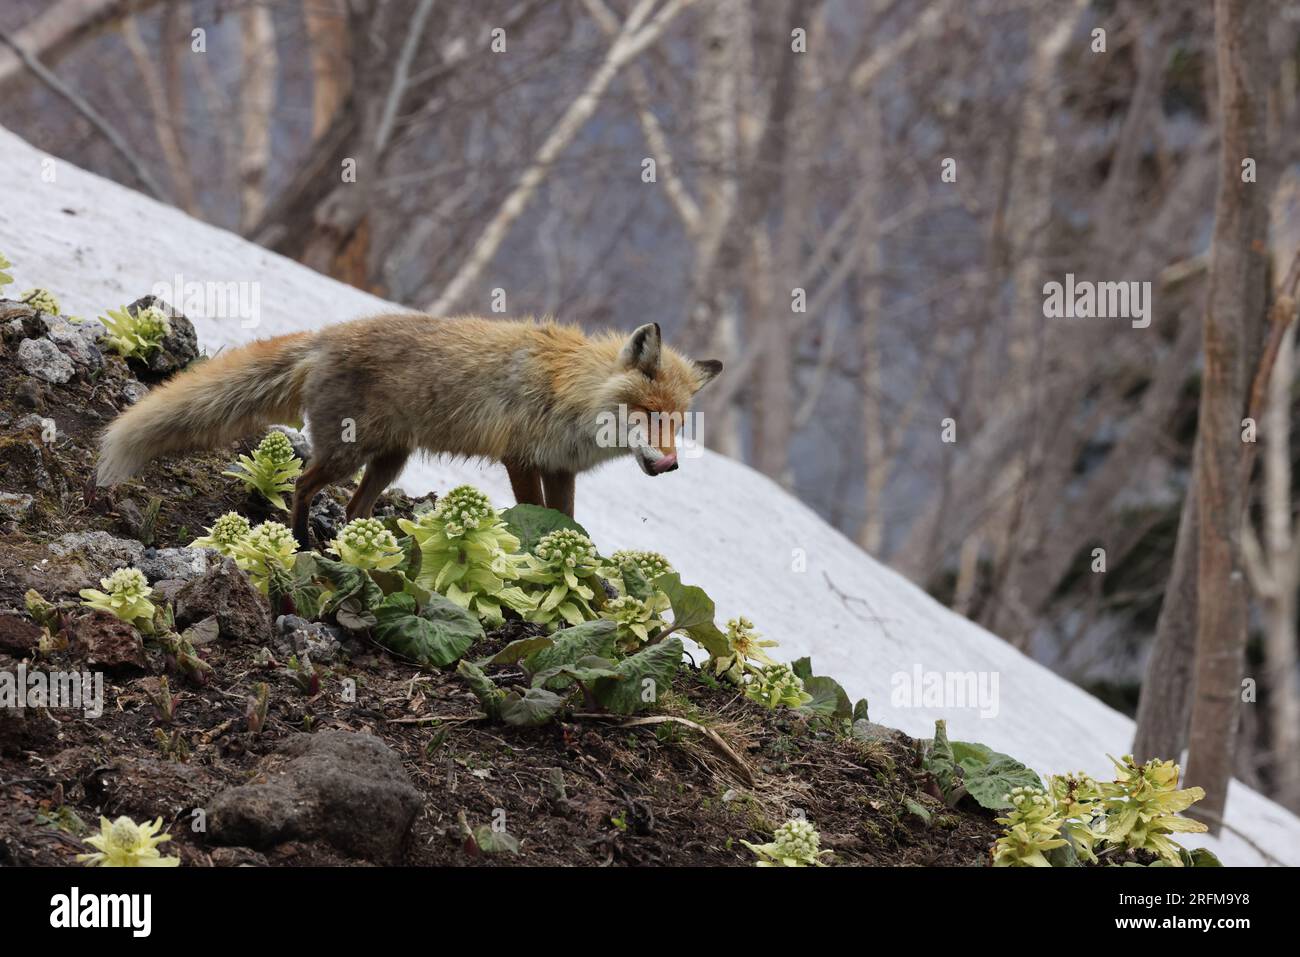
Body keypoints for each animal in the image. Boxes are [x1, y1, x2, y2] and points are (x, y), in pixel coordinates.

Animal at [91, 314, 722, 547]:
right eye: (648, 413)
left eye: (677, 422)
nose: (669, 464)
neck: (569, 391)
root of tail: (323, 338)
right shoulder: (520, 458)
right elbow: (532, 515)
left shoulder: (558, 467)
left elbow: (563, 518)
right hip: (344, 455)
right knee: (301, 486)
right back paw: (301, 541)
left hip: (390, 461)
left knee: (353, 509)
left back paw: (361, 549)